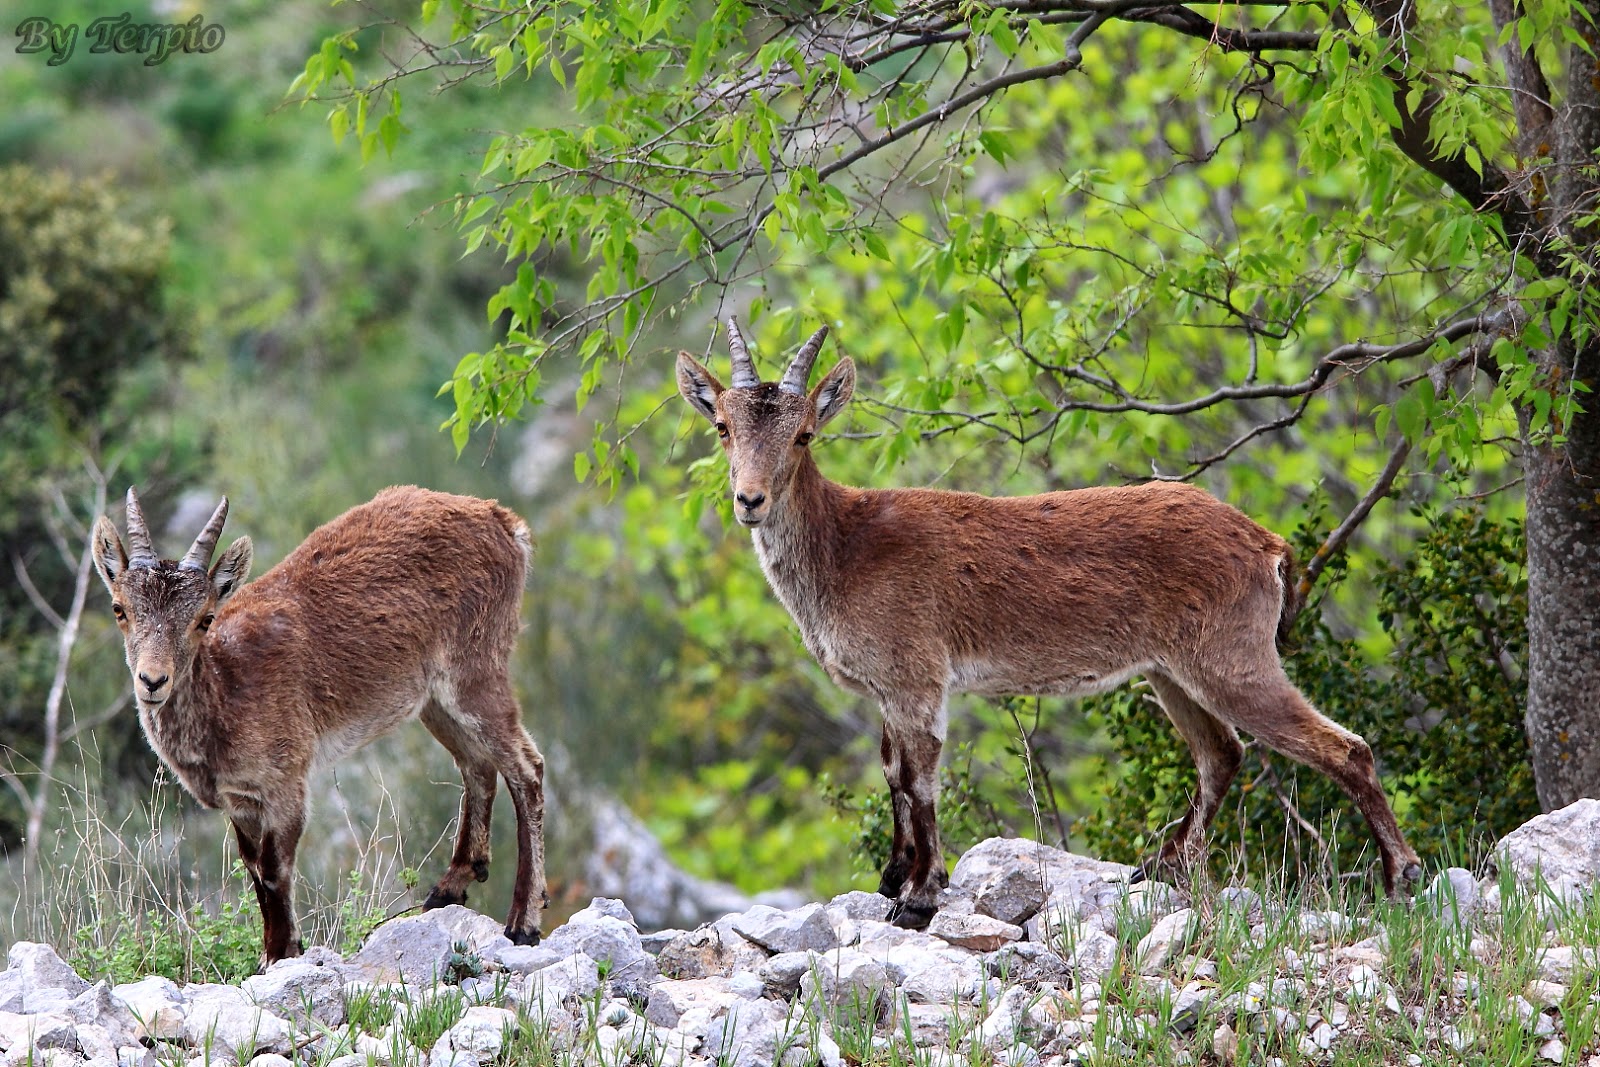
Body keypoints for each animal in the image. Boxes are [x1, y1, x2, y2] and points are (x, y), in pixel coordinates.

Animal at [91, 485, 548, 964]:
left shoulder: (286, 782)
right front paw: (278, 950)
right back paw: (451, 885)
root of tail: (504, 523)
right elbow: (253, 868)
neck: (226, 689)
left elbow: (274, 868)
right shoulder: (241, 801)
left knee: (526, 768)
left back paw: (523, 922)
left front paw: (280, 955)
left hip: (474, 670)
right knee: (477, 765)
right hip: (435, 700)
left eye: (204, 618)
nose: (152, 680)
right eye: (120, 609)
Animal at [677, 319, 1422, 928]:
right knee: (1222, 752)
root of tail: (1268, 543)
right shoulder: (888, 689)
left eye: (804, 433)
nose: (750, 499)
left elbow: (920, 778)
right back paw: (1161, 865)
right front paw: (891, 879)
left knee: (1342, 747)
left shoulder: (917, 675)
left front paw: (920, 897)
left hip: (1230, 656)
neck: (845, 546)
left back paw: (1401, 877)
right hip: (1169, 670)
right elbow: (891, 772)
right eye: (723, 427)